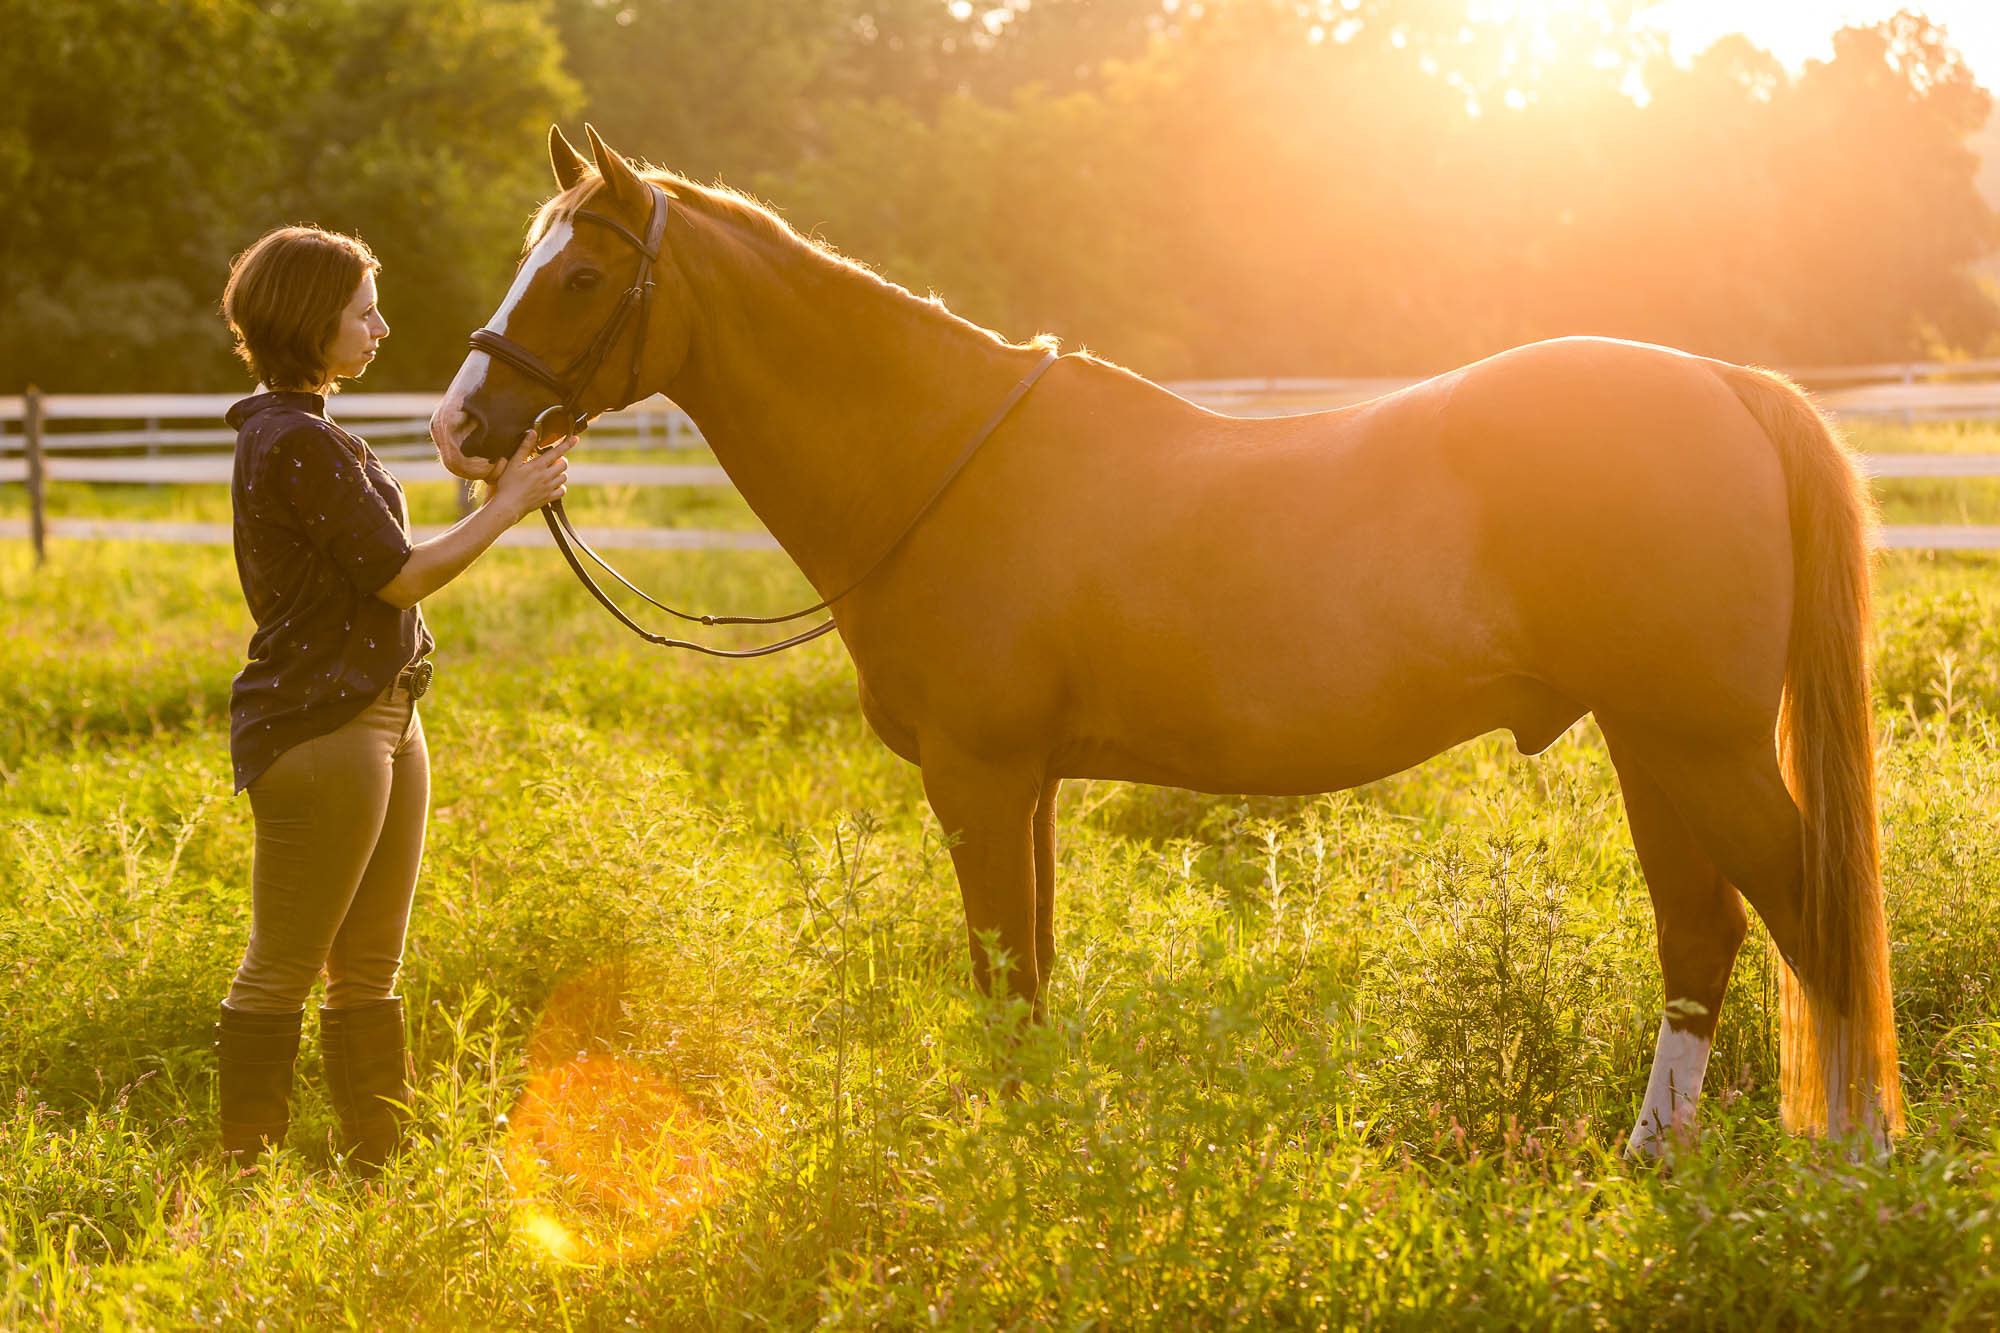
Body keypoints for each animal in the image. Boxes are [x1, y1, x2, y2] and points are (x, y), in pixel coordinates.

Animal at [429, 125, 1902, 1154]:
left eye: (579, 272)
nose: (461, 427)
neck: (943, 458)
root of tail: (1721, 383)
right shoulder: (1022, 786)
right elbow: (1028, 981)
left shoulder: (976, 778)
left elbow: (1003, 979)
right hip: (1652, 744)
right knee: (1702, 932)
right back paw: (1656, 1157)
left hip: (1696, 744)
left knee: (1812, 922)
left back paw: (1859, 1175)